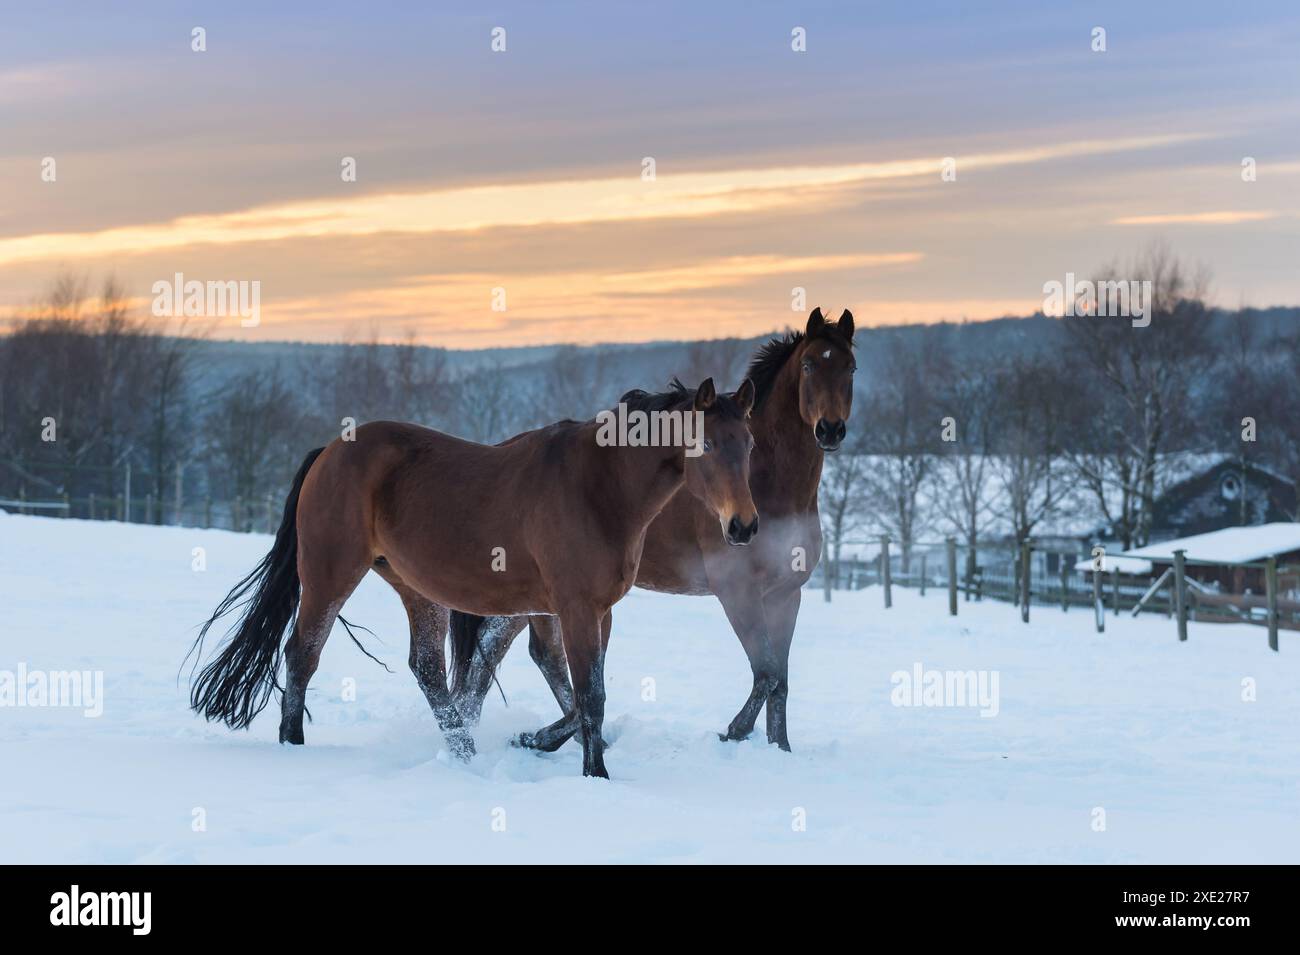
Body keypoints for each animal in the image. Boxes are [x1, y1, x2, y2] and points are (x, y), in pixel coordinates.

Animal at [187, 377, 758, 778]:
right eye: (706, 446)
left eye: (749, 444)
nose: (744, 526)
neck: (598, 488)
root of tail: (330, 451)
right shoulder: (576, 608)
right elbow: (588, 697)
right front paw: (595, 774)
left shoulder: (597, 611)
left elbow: (580, 696)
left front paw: (534, 741)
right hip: (330, 575)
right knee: (303, 654)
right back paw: (295, 748)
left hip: (417, 589)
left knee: (427, 668)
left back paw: (463, 752)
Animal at [449, 307, 855, 752]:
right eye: (809, 364)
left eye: (850, 367)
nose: (830, 430)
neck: (774, 488)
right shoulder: (737, 591)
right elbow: (765, 671)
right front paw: (733, 732)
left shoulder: (786, 594)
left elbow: (779, 680)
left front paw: (780, 748)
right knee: (520, 658)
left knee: (516, 658)